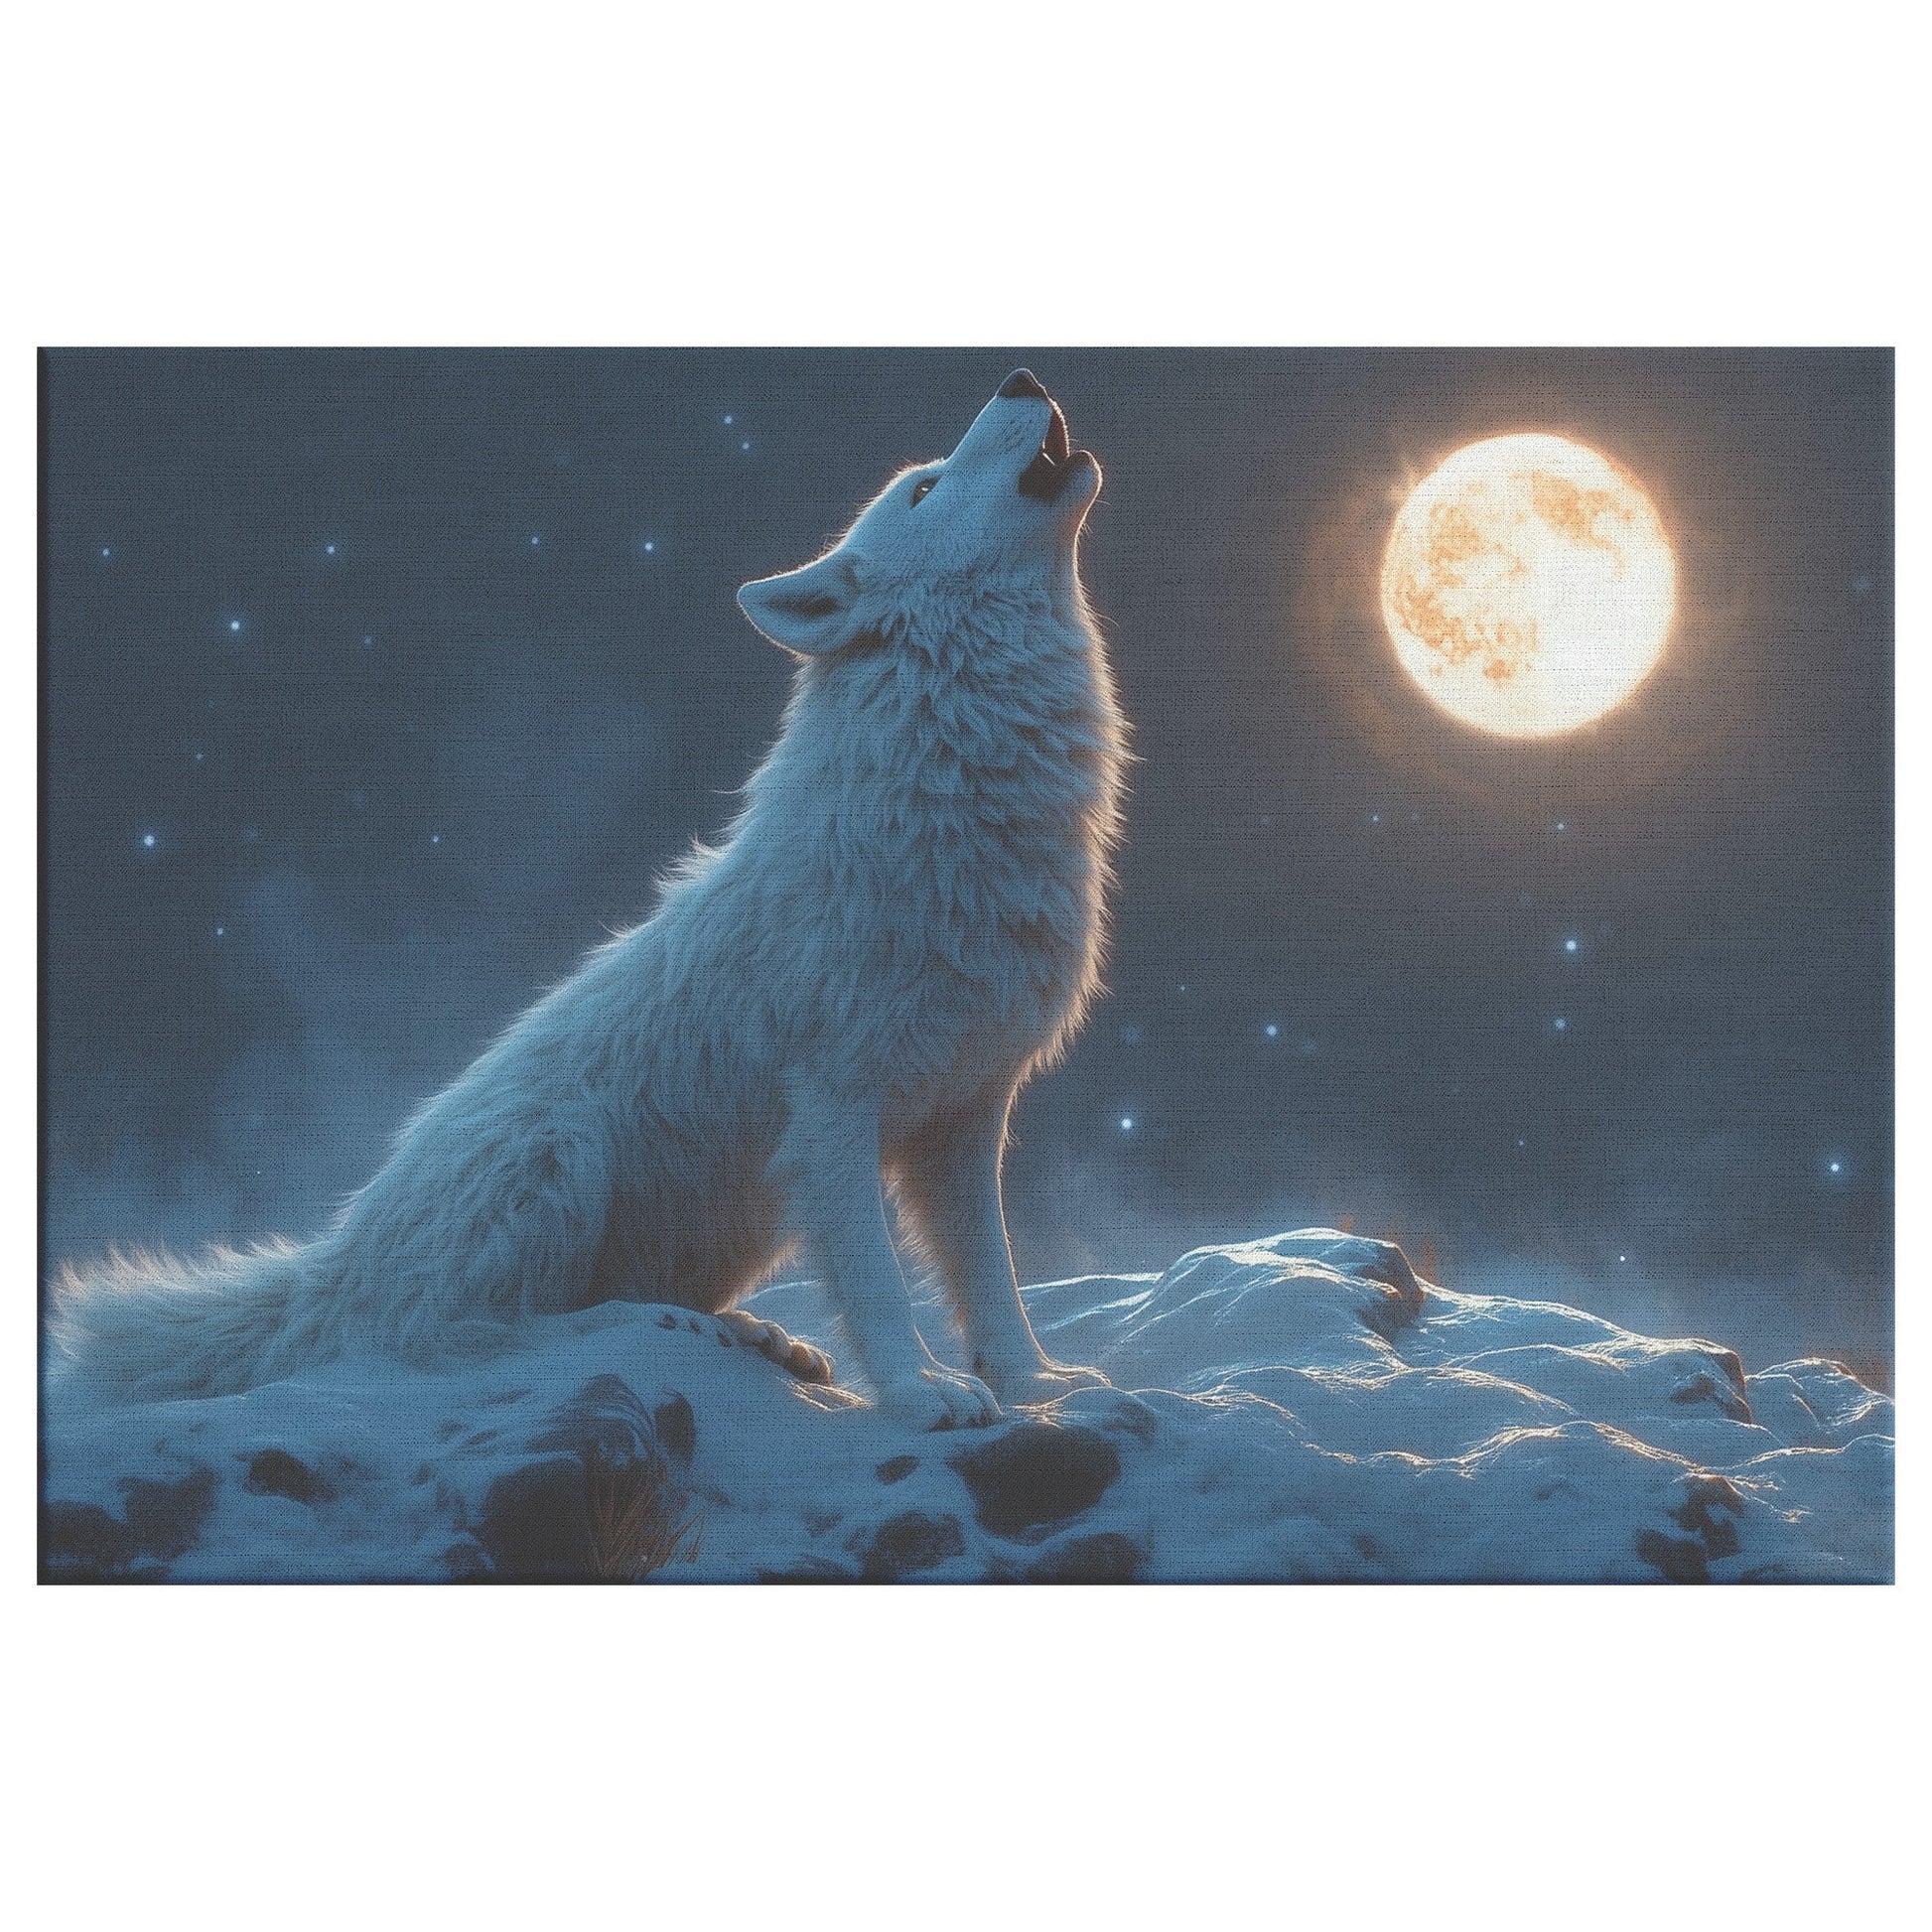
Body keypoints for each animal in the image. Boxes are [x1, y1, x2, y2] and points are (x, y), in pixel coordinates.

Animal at [50, 371, 1129, 1431]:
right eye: (922, 486)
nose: (1020, 375)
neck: (959, 790)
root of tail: (329, 1267)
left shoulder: (967, 1117)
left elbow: (992, 1278)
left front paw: (1041, 1385)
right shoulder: (834, 1105)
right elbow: (875, 1280)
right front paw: (917, 1391)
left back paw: (755, 1336)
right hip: (556, 1155)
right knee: (464, 1341)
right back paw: (662, 1328)